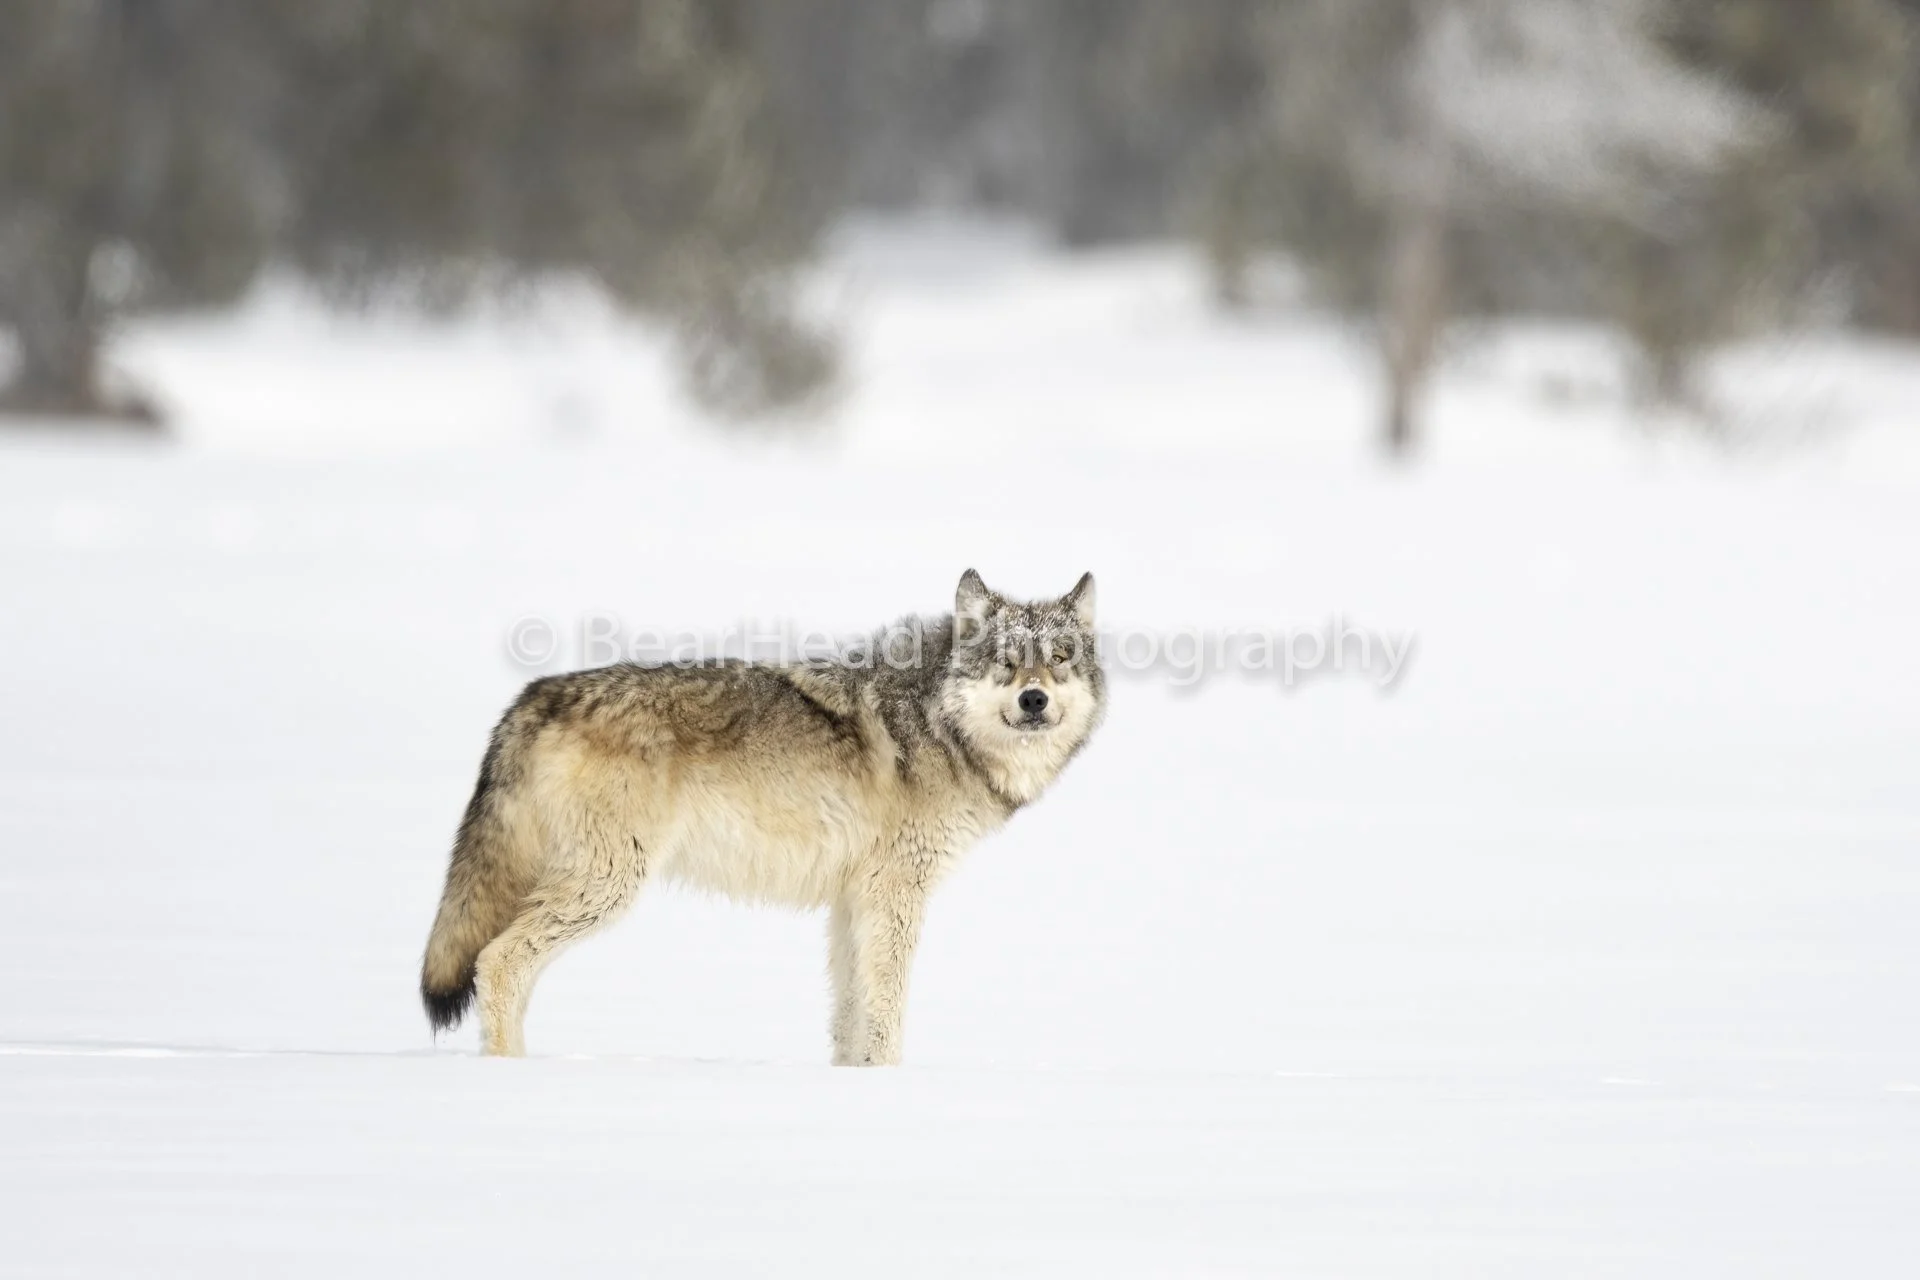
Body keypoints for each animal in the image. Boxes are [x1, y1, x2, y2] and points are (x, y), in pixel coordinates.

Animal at [420, 570, 1106, 1065]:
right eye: (1007, 663)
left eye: (1060, 657)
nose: (1034, 699)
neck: (941, 726)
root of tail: (534, 697)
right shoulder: (895, 893)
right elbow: (887, 1013)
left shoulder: (853, 900)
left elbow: (851, 1015)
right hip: (607, 885)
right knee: (497, 964)